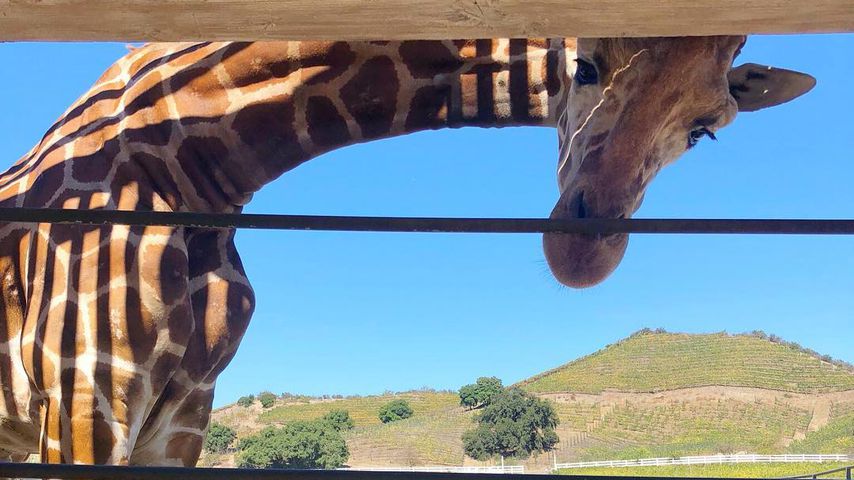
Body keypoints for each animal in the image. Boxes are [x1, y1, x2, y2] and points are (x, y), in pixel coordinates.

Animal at [0, 37, 812, 466]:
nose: (583, 255)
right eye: (585, 65)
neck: (199, 158)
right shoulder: (87, 387)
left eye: (705, 129)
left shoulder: (183, 408)